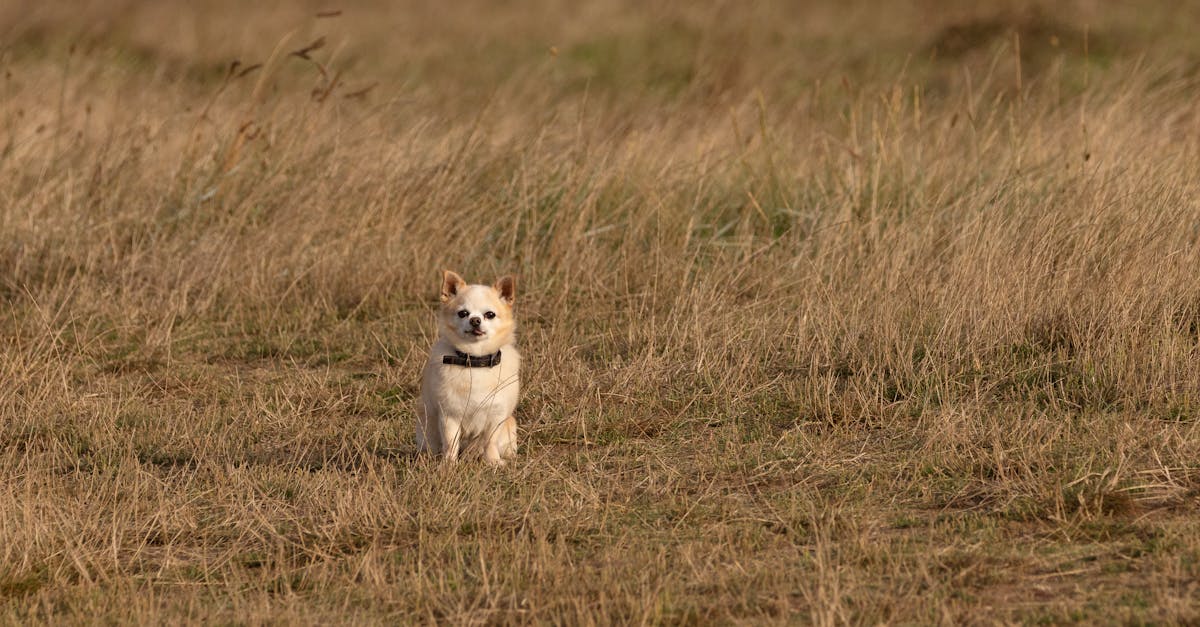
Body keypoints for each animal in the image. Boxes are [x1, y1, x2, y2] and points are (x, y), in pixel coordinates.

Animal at [417, 270, 520, 461]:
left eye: (490, 314)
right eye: (463, 313)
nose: (475, 320)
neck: (475, 360)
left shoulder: (497, 416)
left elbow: (490, 441)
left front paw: (493, 462)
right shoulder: (449, 415)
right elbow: (450, 443)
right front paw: (449, 464)